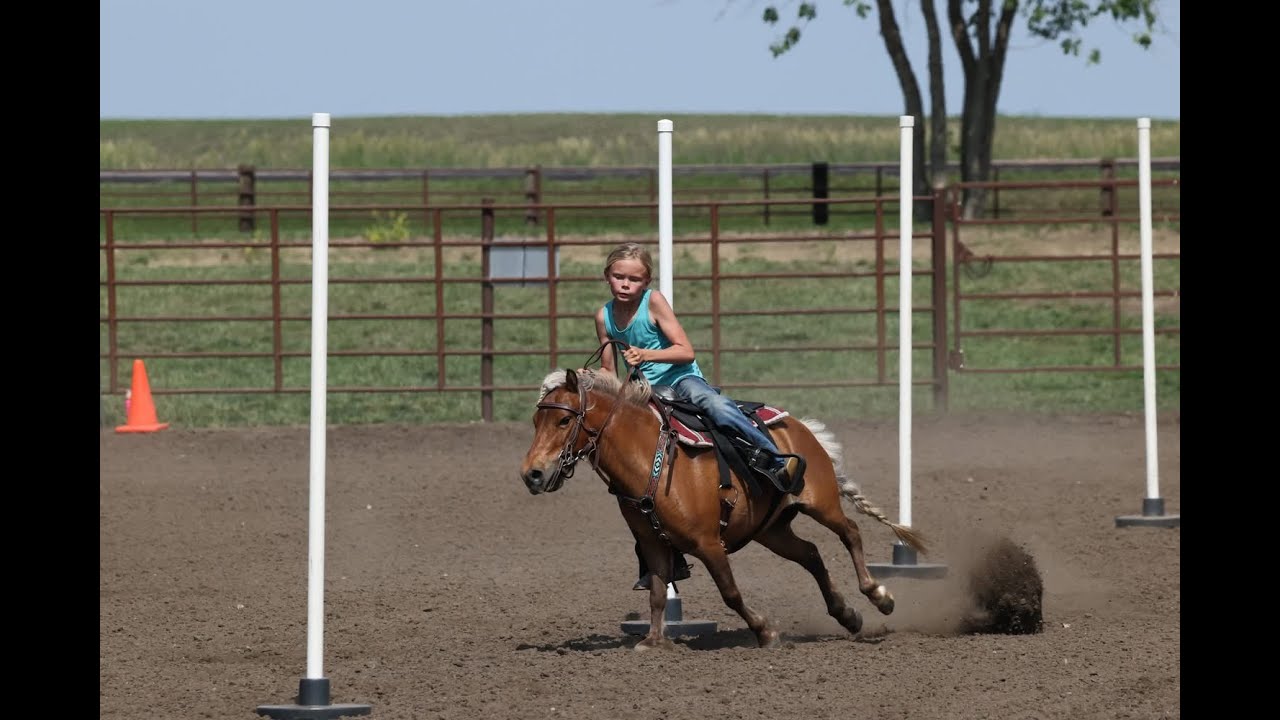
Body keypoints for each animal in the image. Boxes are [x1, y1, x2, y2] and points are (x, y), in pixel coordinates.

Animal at [518, 365, 929, 650]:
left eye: (564, 419)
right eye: (536, 419)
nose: (532, 474)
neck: (651, 460)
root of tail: (800, 426)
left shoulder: (708, 543)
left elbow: (730, 593)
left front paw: (765, 632)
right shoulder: (652, 544)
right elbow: (656, 592)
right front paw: (653, 641)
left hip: (821, 502)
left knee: (851, 533)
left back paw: (879, 595)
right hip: (772, 529)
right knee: (812, 554)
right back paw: (847, 615)